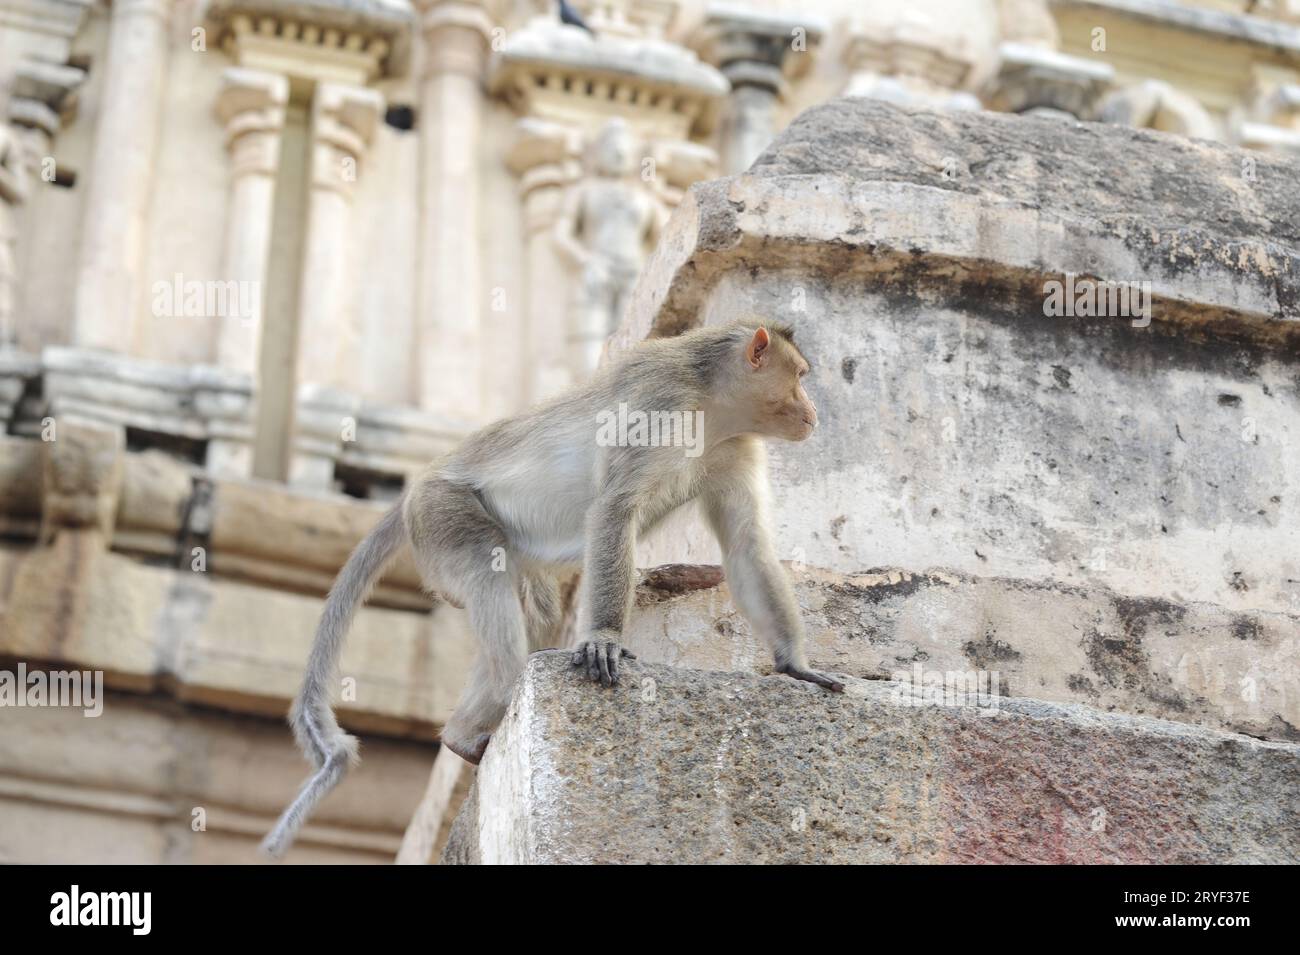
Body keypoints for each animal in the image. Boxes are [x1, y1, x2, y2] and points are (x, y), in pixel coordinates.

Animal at [261, 320, 840, 857]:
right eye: (800, 376)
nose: (813, 409)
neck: (713, 403)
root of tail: (416, 488)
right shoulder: (660, 403)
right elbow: (613, 510)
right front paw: (604, 637)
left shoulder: (736, 448)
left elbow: (746, 549)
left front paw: (794, 664)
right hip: (443, 513)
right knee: (488, 581)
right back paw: (485, 714)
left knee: (529, 607)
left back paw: (469, 725)